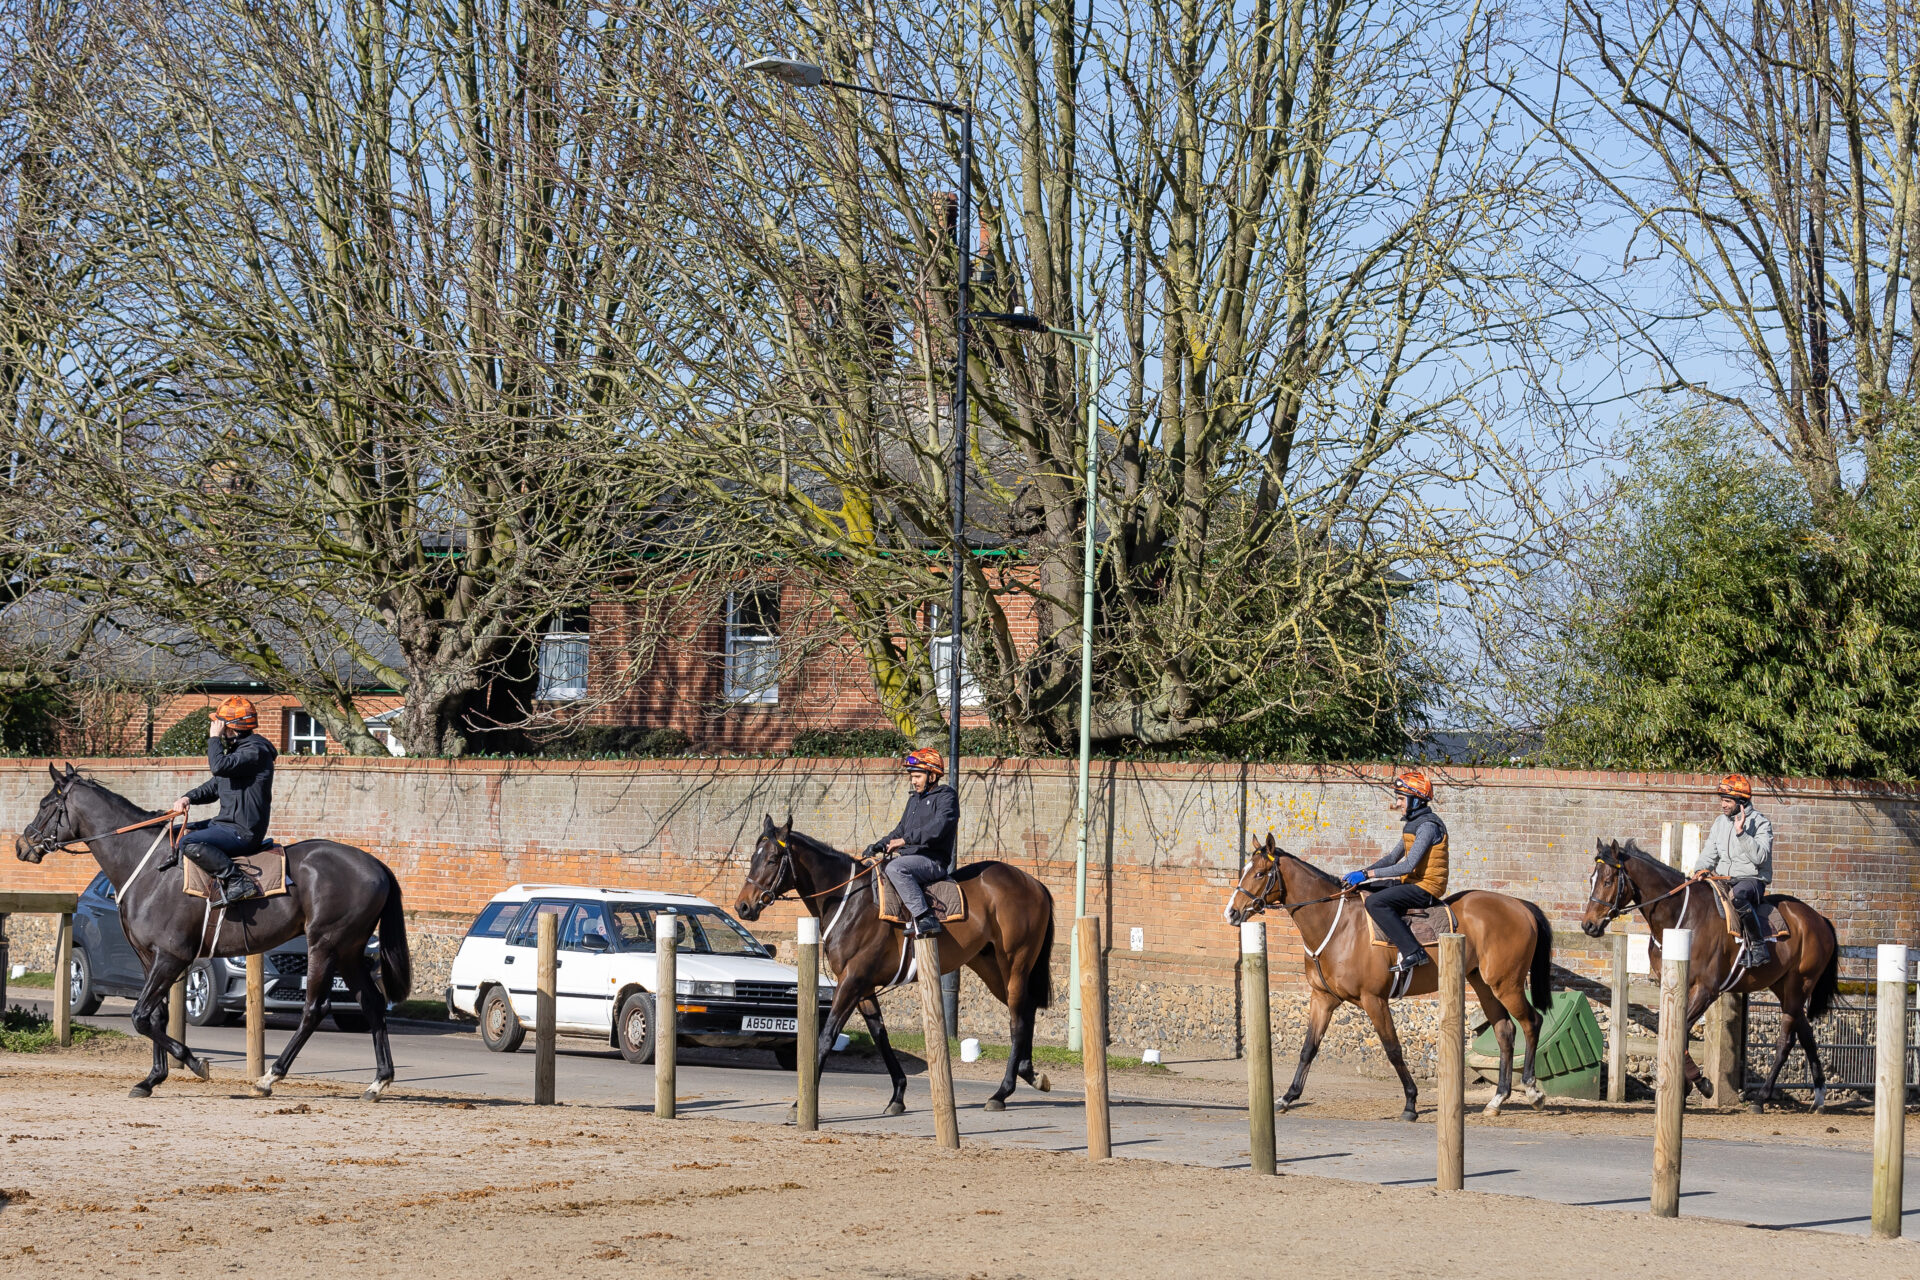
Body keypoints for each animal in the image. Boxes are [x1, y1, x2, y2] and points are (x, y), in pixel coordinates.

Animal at [15, 763, 412, 1101]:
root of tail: (375, 864)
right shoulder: (149, 959)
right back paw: (379, 1081)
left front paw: (194, 1062)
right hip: (348, 951)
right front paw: (152, 1078)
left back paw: (269, 1077)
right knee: (372, 1004)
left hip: (325, 946)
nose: (22, 845)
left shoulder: (171, 957)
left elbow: (141, 1015)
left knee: (314, 1009)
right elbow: (155, 1015)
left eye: (46, 804)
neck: (148, 866)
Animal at [734, 815, 1056, 1114]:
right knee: (1026, 1009)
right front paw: (898, 1095)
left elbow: (827, 1037)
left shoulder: (851, 981)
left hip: (1014, 964)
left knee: (1017, 1019)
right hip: (991, 968)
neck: (850, 901)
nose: (743, 906)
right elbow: (880, 1037)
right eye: (753, 858)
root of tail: (1033, 883)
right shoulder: (863, 987)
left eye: (772, 859)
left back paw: (1002, 1091)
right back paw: (1028, 1073)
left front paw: (800, 1103)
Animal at [1225, 832, 1555, 1120]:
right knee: (1505, 1031)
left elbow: (1393, 1050)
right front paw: (1288, 1096)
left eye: (1259, 874)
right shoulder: (1323, 999)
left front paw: (1411, 1102)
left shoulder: (1374, 1000)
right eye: (1245, 871)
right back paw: (1498, 1099)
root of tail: (1520, 905)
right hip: (1484, 984)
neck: (1337, 925)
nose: (1231, 912)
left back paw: (1532, 1090)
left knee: (1531, 1022)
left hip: (1506, 984)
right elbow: (1308, 1049)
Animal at [1582, 838, 1839, 1110]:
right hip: (1785, 989)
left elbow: (1681, 1030)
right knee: (1807, 1036)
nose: (1588, 925)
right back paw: (1819, 1095)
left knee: (1785, 1042)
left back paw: (1761, 1097)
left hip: (1798, 986)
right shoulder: (1674, 986)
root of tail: (1818, 919)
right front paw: (1684, 1088)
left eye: (1608, 881)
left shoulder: (1706, 990)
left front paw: (1701, 1083)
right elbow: (1675, 1032)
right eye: (1591, 878)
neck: (1681, 918)